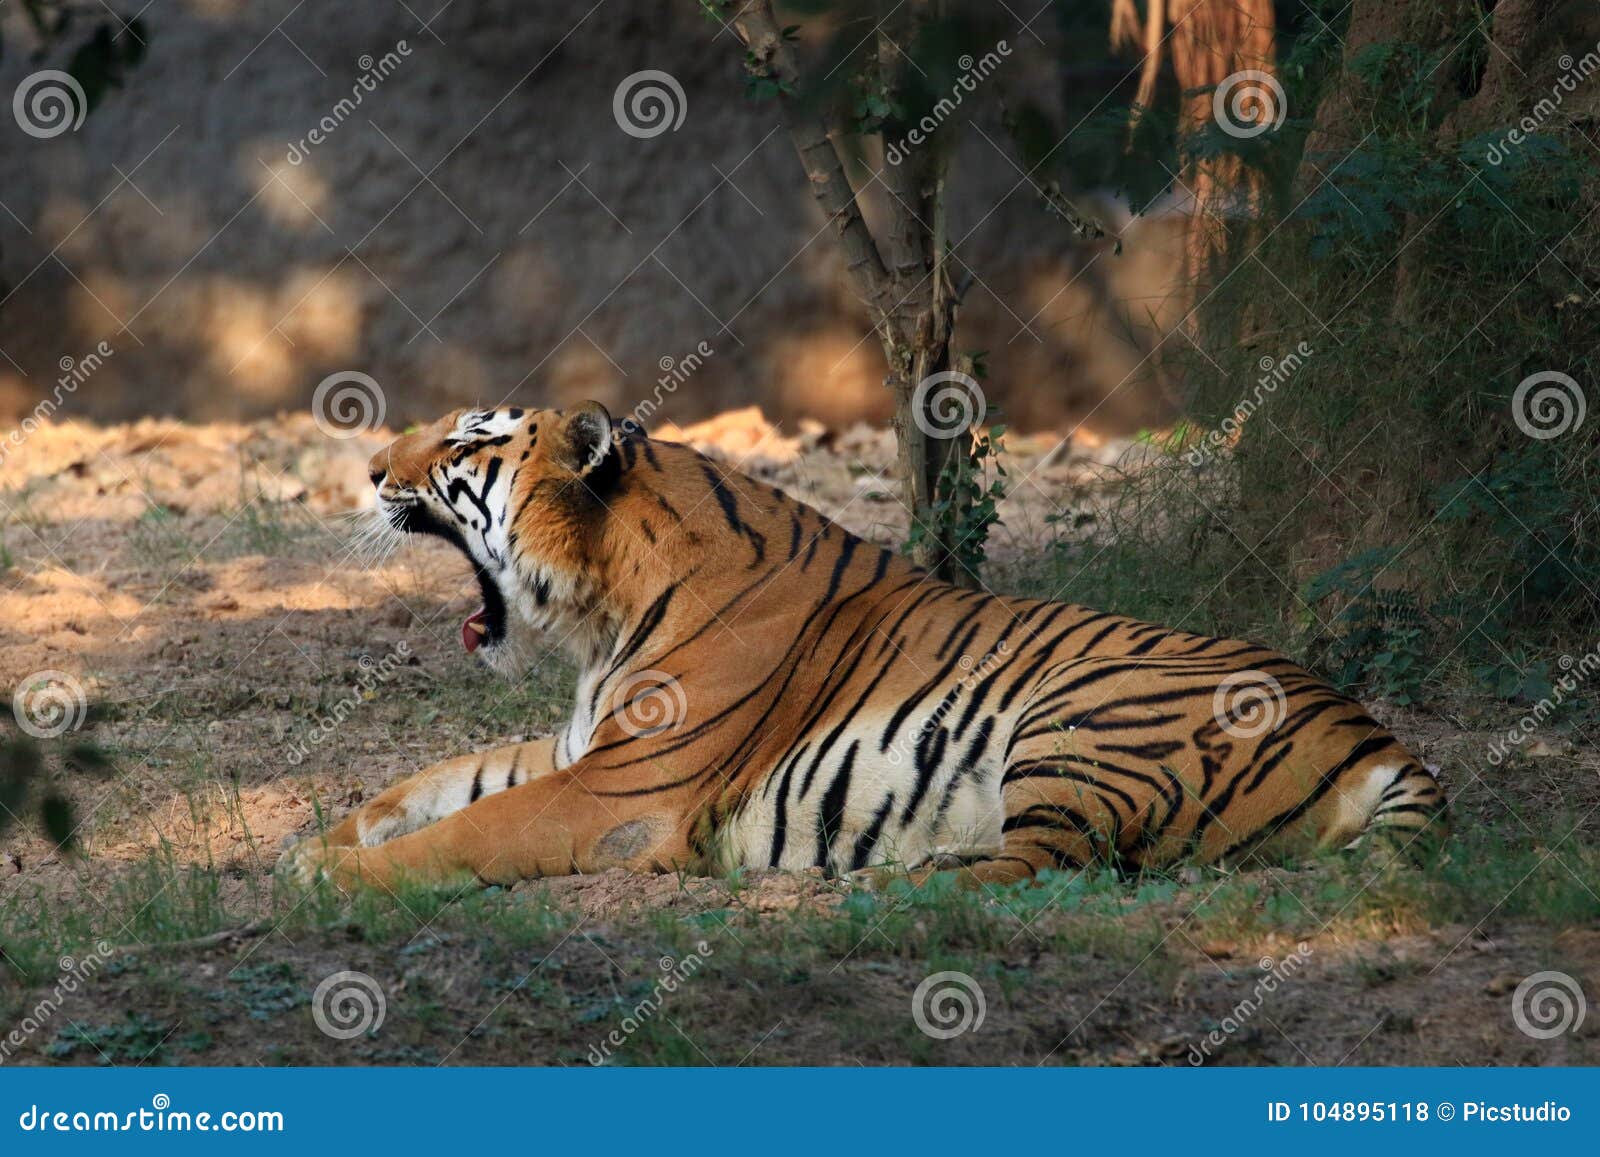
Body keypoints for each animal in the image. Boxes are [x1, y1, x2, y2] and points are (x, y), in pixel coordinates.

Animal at [282, 401, 1447, 892]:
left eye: (464, 440)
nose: (369, 469)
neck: (601, 615)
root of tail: (1382, 740)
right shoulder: (579, 750)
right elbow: (433, 784)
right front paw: (312, 843)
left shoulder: (619, 790)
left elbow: (466, 830)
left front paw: (330, 878)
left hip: (1085, 715)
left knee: (1047, 864)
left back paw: (886, 881)